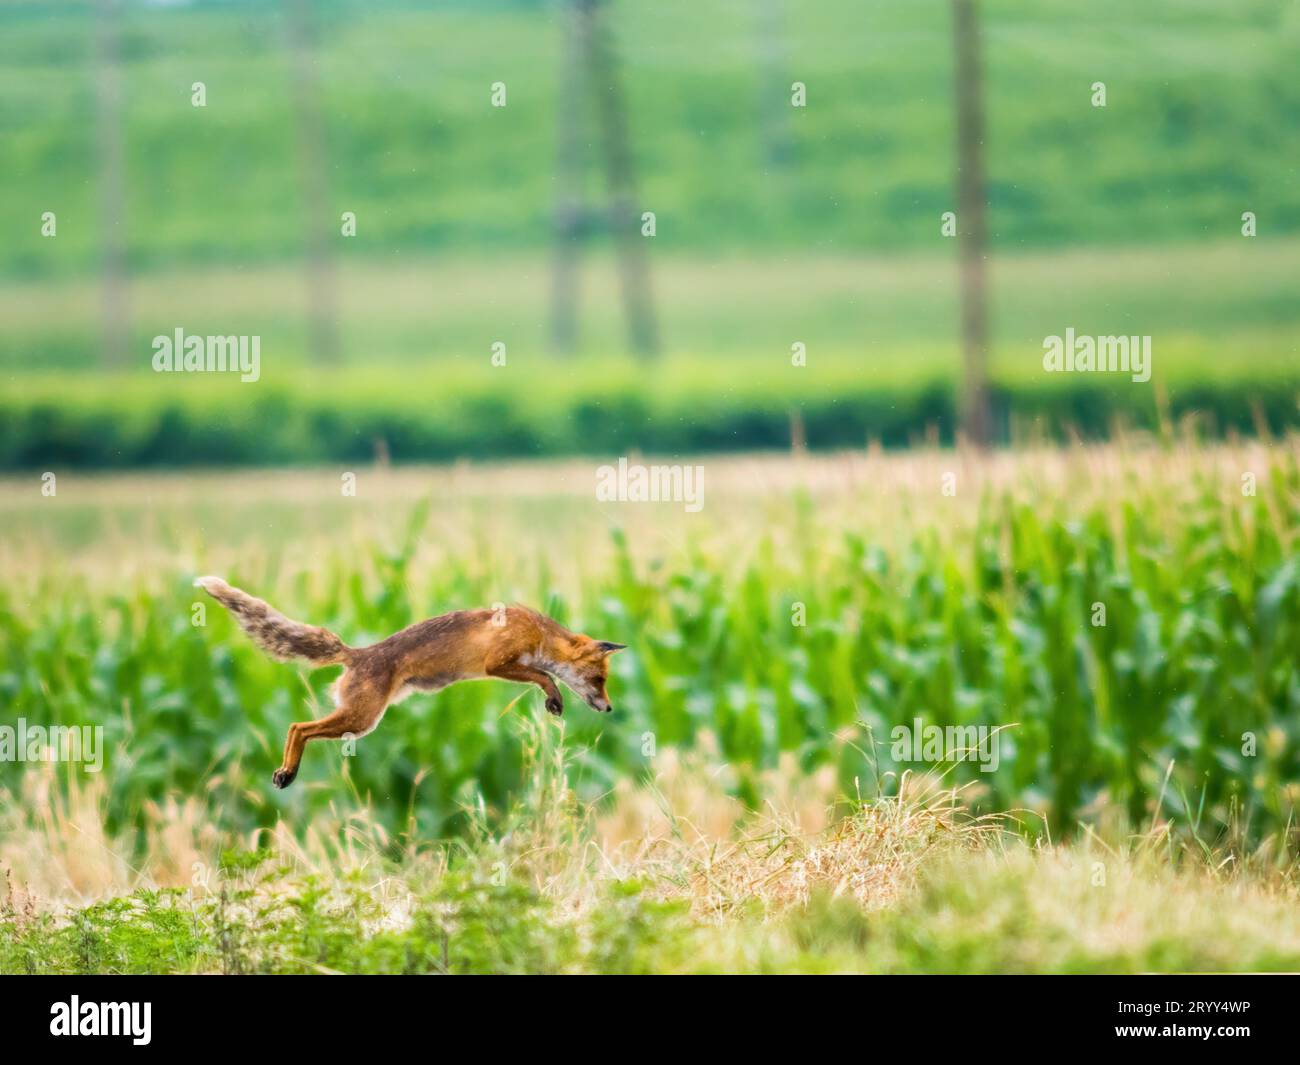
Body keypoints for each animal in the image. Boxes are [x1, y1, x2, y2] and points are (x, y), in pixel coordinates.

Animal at [194, 577, 625, 789]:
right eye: (600, 679)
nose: (609, 708)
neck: (538, 633)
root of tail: (358, 652)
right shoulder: (496, 663)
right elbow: (543, 674)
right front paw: (554, 698)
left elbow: (543, 673)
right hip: (360, 720)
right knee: (298, 726)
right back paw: (287, 772)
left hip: (357, 721)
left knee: (297, 727)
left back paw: (286, 772)